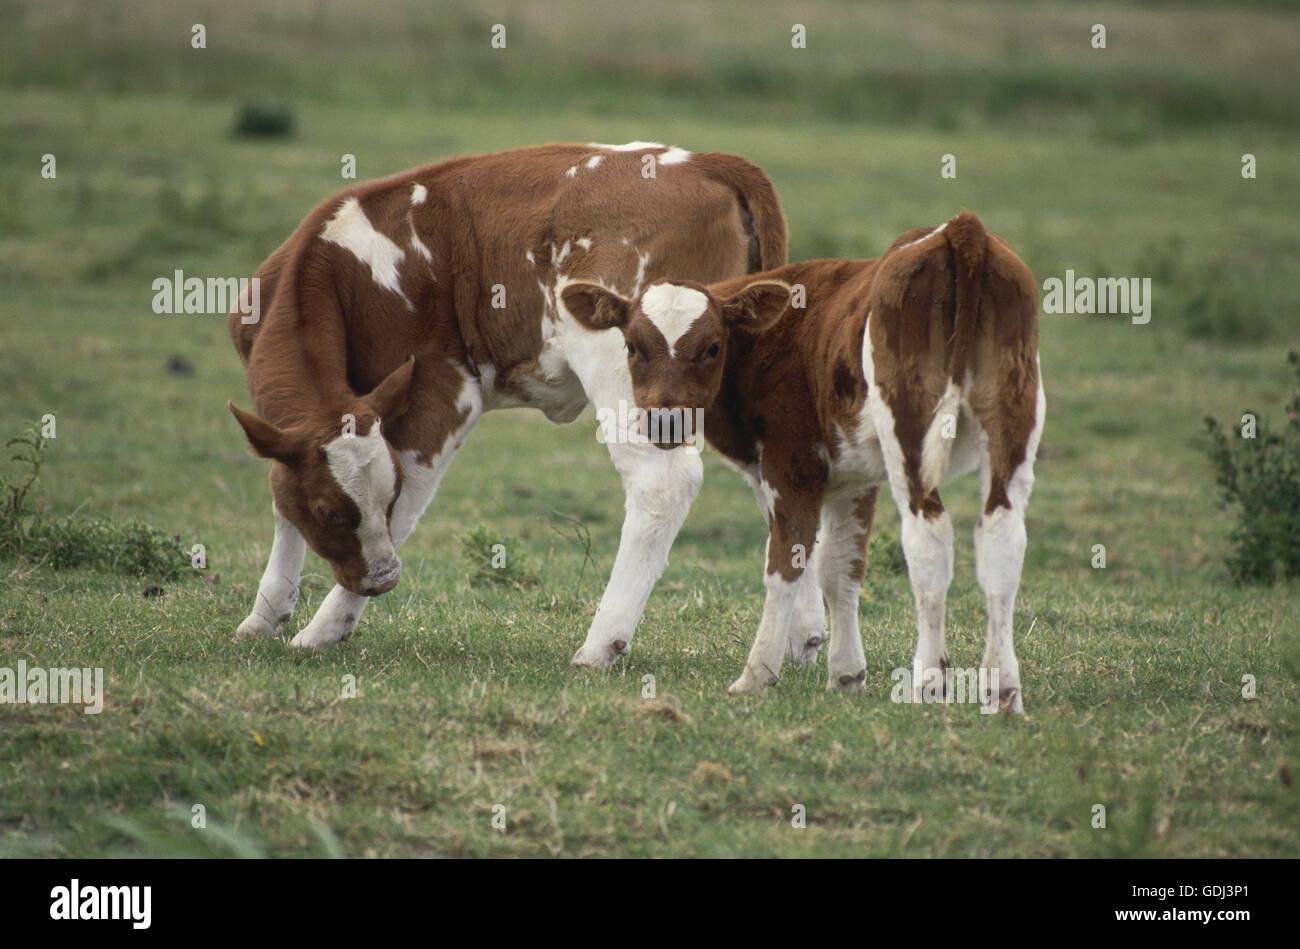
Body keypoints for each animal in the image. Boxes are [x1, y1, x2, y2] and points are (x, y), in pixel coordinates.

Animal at [226, 142, 787, 662]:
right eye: (327, 510)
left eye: (384, 496)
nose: (382, 581)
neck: (339, 276)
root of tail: (706, 161)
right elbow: (283, 496)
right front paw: (264, 615)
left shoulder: (439, 391)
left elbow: (405, 508)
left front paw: (324, 629)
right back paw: (796, 646)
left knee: (663, 482)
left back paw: (599, 646)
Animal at [560, 211, 1043, 712]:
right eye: (632, 347)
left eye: (712, 347)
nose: (666, 420)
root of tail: (960, 230)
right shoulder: (855, 479)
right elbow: (839, 569)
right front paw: (846, 673)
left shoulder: (791, 465)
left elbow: (785, 565)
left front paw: (757, 674)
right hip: (1014, 414)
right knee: (1002, 538)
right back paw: (1003, 691)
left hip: (912, 430)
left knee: (928, 539)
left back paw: (929, 682)